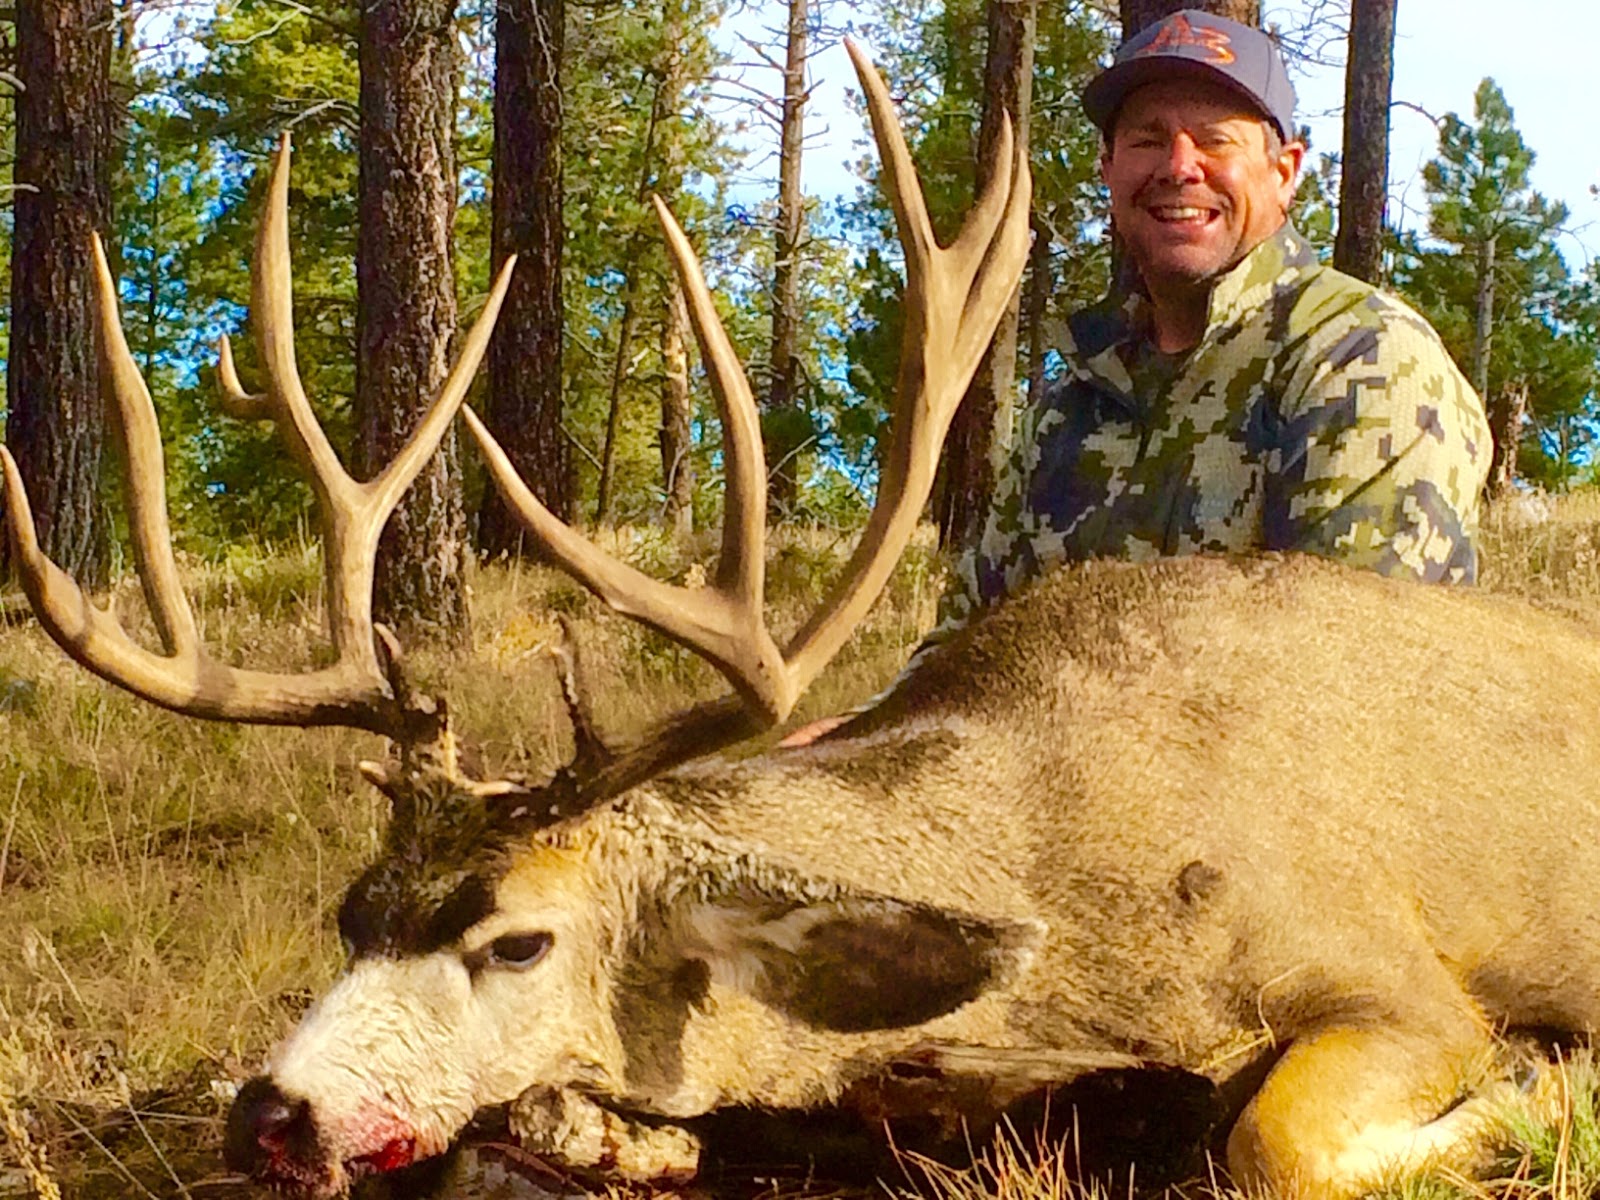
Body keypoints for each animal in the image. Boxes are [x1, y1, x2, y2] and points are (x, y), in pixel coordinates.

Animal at [5, 41, 1598, 1200]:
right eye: (349, 913)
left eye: (518, 943)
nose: (267, 1116)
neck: (1055, 848)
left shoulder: (1388, 971)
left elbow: (1277, 1136)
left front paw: (1536, 1082)